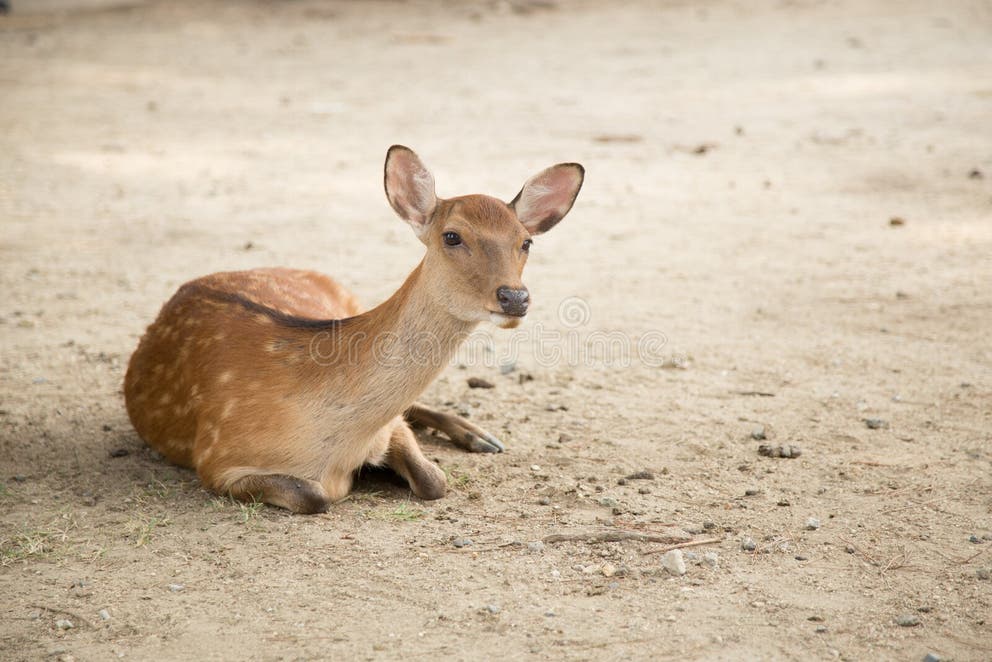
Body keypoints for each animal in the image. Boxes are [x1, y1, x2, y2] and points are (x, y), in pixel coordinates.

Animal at [123, 146, 584, 513]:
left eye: (526, 242)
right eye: (452, 236)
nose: (514, 298)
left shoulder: (389, 427)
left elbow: (433, 479)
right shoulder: (216, 459)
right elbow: (315, 496)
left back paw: (480, 435)